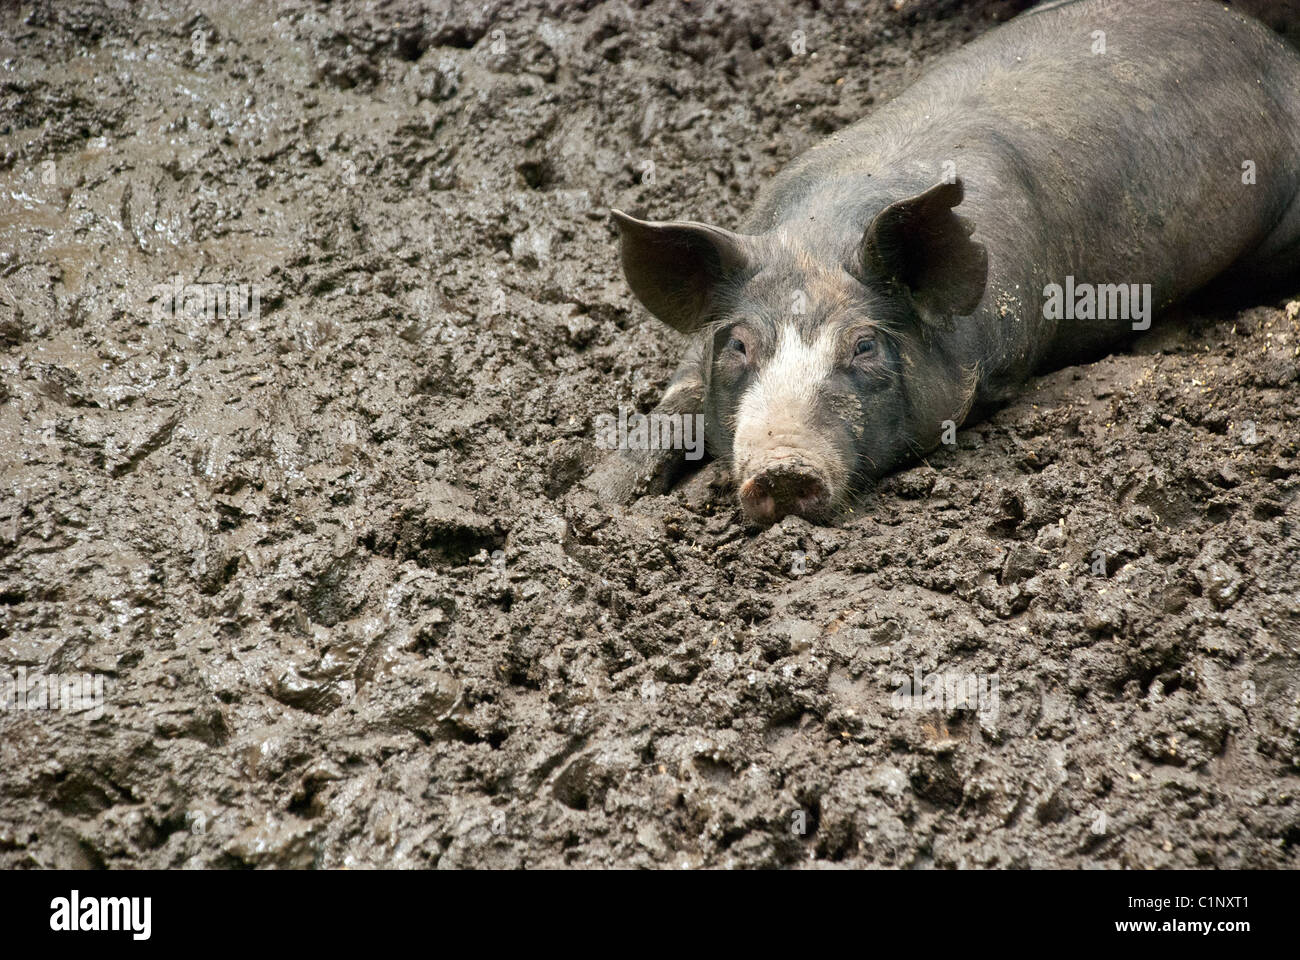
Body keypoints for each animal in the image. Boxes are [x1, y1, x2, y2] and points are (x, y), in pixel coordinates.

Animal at [591, 0, 1300, 525]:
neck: (819, 235)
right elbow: (674, 400)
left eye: (865, 346)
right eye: (738, 344)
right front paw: (595, 503)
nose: (783, 466)